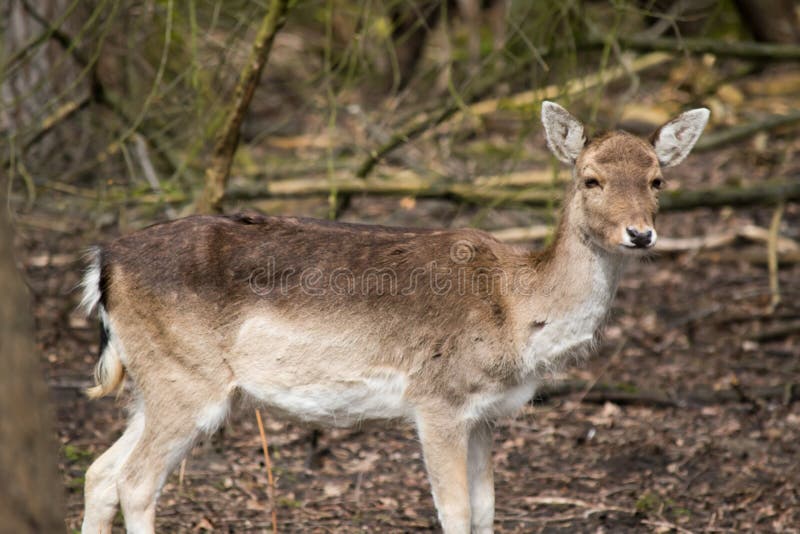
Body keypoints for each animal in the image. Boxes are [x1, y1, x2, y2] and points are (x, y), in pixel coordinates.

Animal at [80, 101, 709, 534]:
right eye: (590, 179)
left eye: (657, 179)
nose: (640, 233)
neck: (516, 315)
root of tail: (103, 264)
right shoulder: (437, 400)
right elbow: (455, 514)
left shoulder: (485, 415)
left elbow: (487, 512)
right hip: (188, 381)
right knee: (135, 483)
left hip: (154, 382)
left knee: (100, 474)